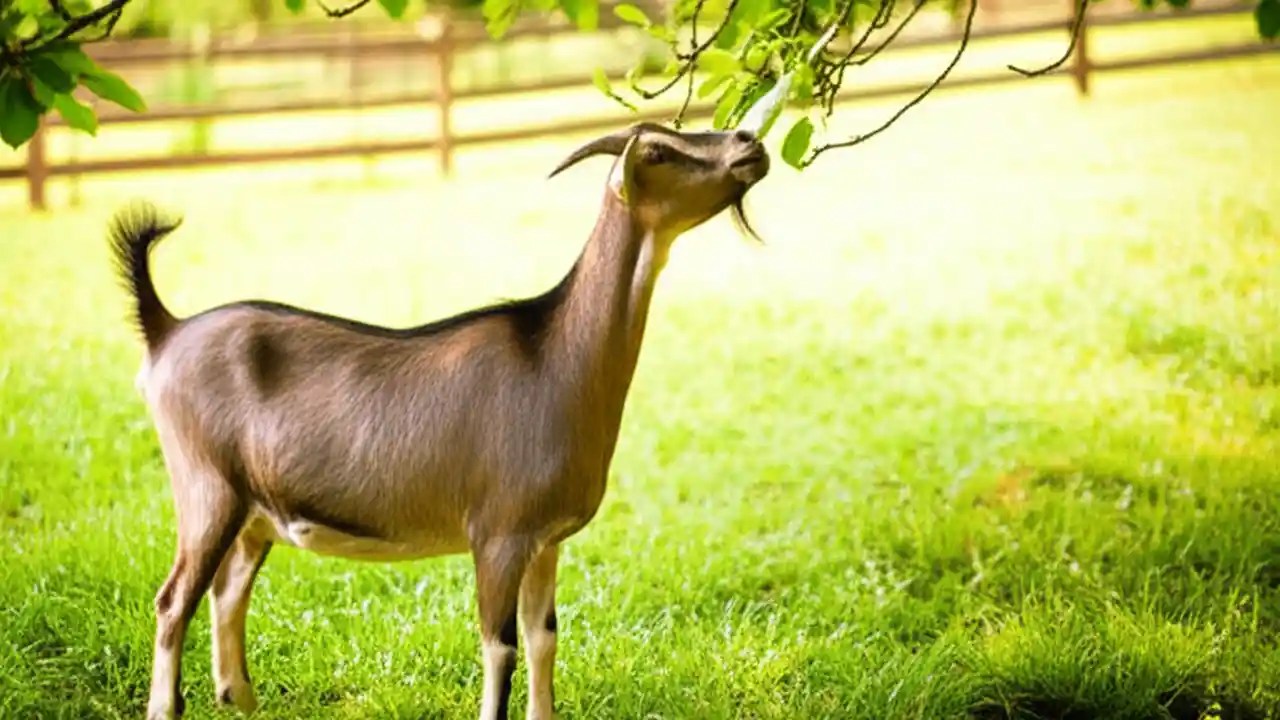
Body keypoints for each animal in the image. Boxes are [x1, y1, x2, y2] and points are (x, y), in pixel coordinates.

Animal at [111, 122, 770, 720]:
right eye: (658, 150)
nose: (749, 143)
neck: (556, 357)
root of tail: (166, 331)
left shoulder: (547, 540)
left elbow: (544, 638)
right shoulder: (499, 536)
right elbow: (501, 648)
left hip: (254, 511)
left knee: (227, 590)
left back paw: (242, 700)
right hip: (205, 488)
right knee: (174, 600)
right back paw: (168, 708)